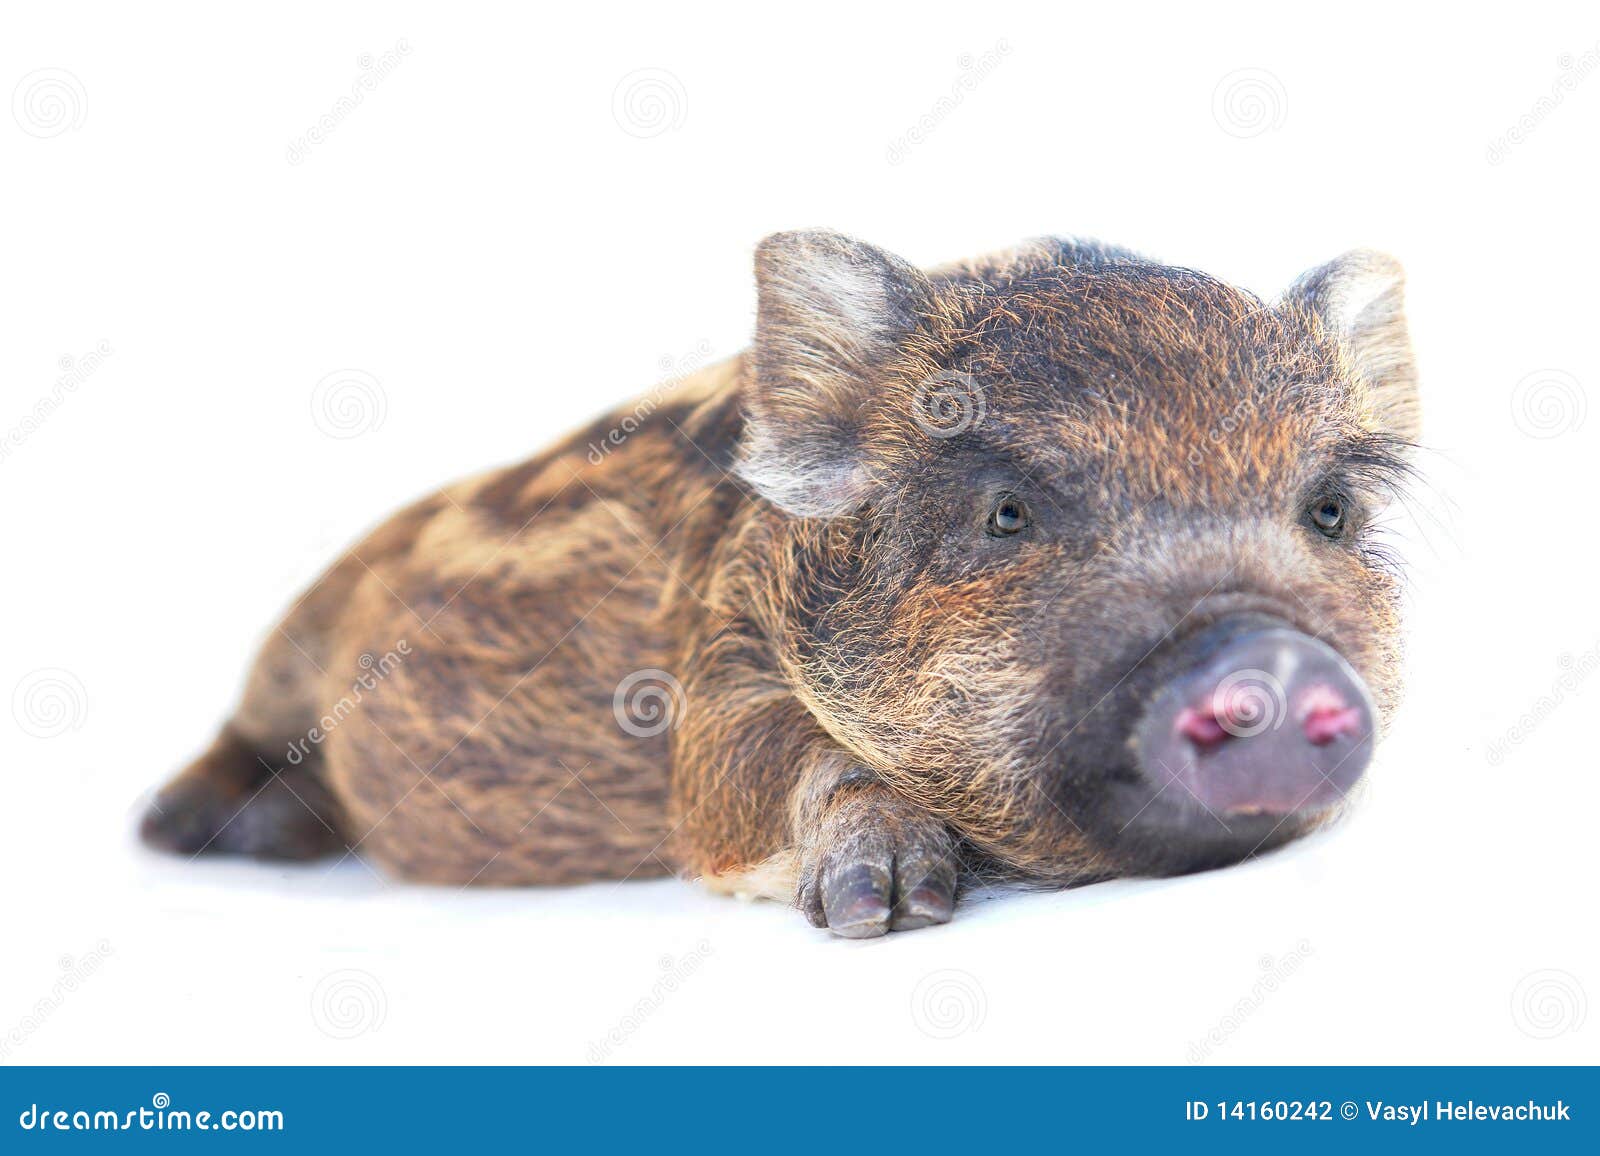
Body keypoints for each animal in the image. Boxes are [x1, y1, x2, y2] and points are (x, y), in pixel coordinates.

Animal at [140, 230, 1418, 936]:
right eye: (1006, 511)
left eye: (1328, 510)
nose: (1262, 652)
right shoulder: (711, 688)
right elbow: (769, 773)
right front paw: (886, 913)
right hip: (290, 646)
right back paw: (188, 832)